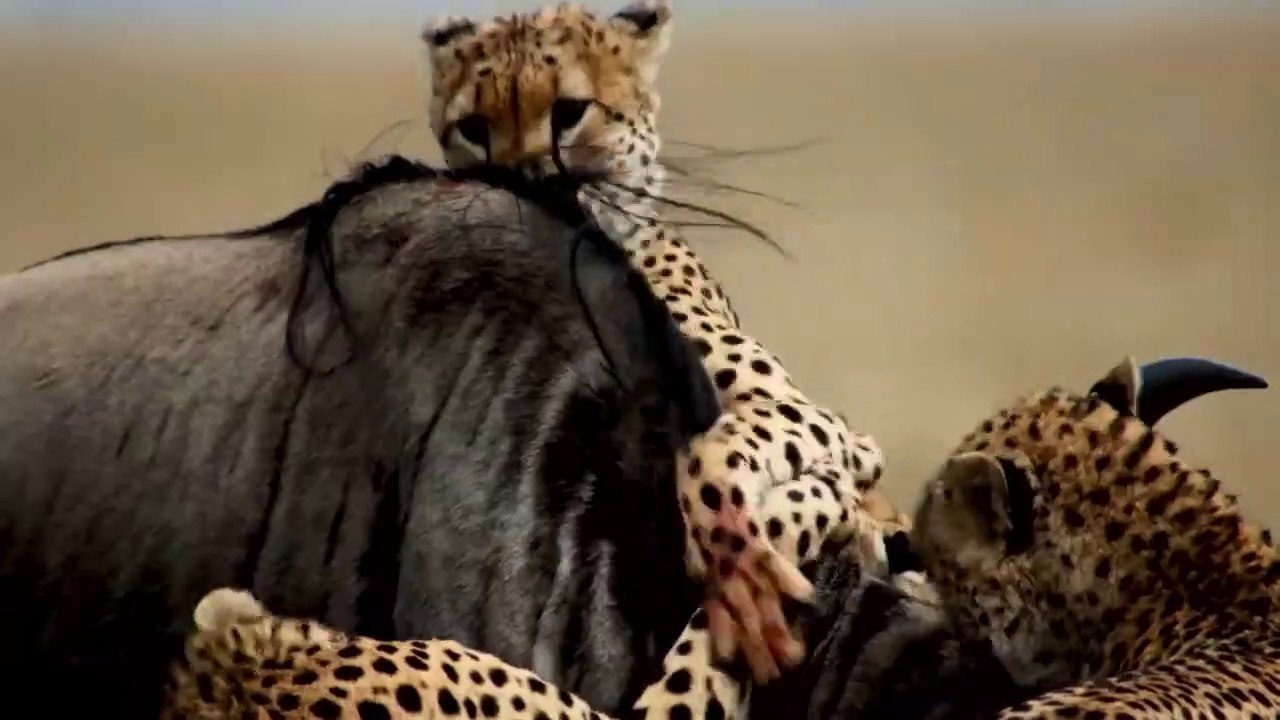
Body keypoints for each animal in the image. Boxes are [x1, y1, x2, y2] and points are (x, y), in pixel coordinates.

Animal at [418, 0, 888, 682]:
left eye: (569, 111)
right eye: (473, 127)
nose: (520, 179)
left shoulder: (820, 420)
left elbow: (715, 454)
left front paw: (735, 560)